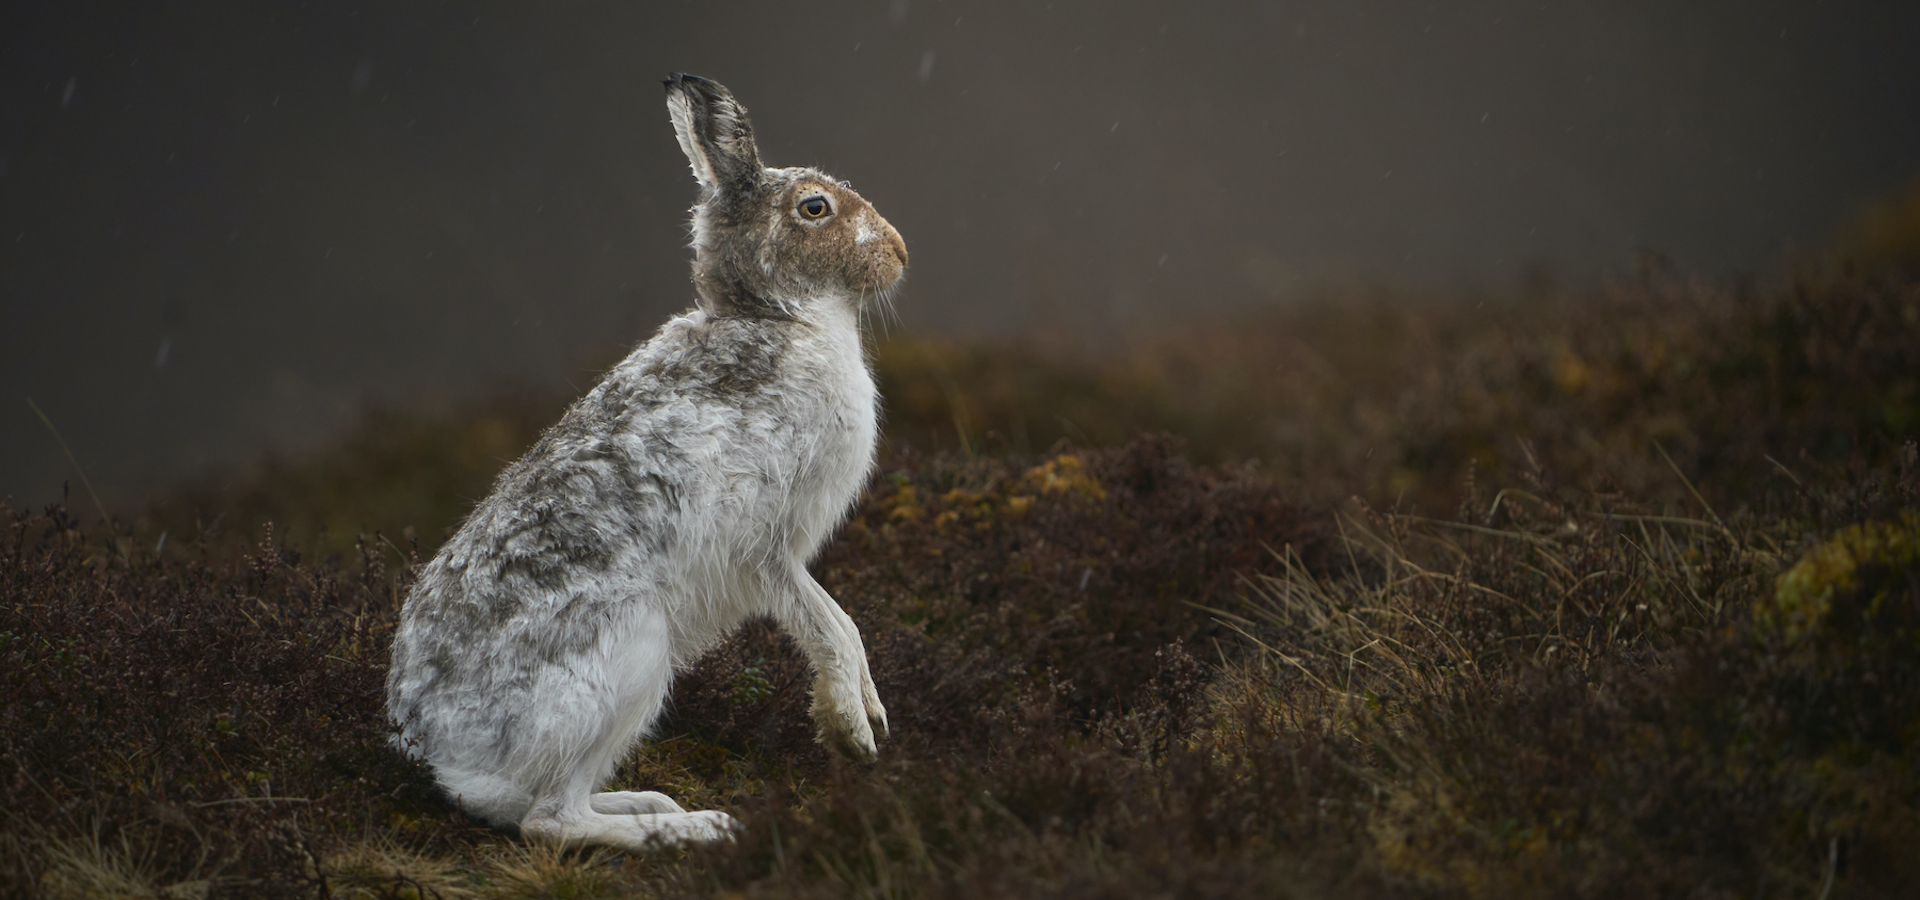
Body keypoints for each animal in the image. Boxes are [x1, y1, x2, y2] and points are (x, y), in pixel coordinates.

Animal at [385, 72, 905, 851]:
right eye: (816, 207)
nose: (900, 253)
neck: (776, 318)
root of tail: (440, 752)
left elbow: (846, 623)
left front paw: (870, 714)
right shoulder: (765, 545)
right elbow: (830, 626)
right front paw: (850, 730)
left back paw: (649, 802)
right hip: (627, 654)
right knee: (548, 820)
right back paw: (695, 826)